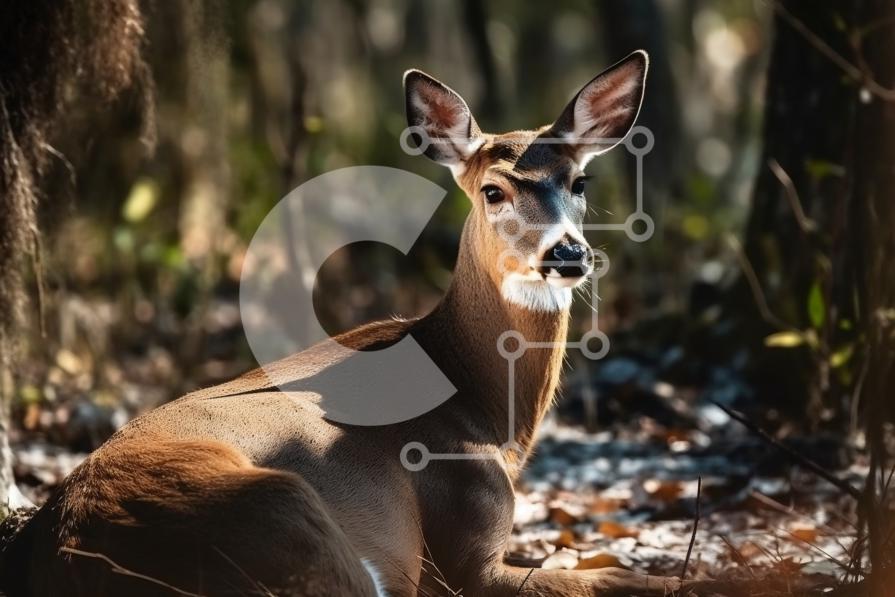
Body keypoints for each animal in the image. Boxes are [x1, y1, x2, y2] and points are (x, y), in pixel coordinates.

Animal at [0, 50, 710, 597]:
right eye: (494, 190)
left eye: (581, 182)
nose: (567, 254)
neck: (485, 411)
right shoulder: (464, 549)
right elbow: (622, 575)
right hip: (288, 513)